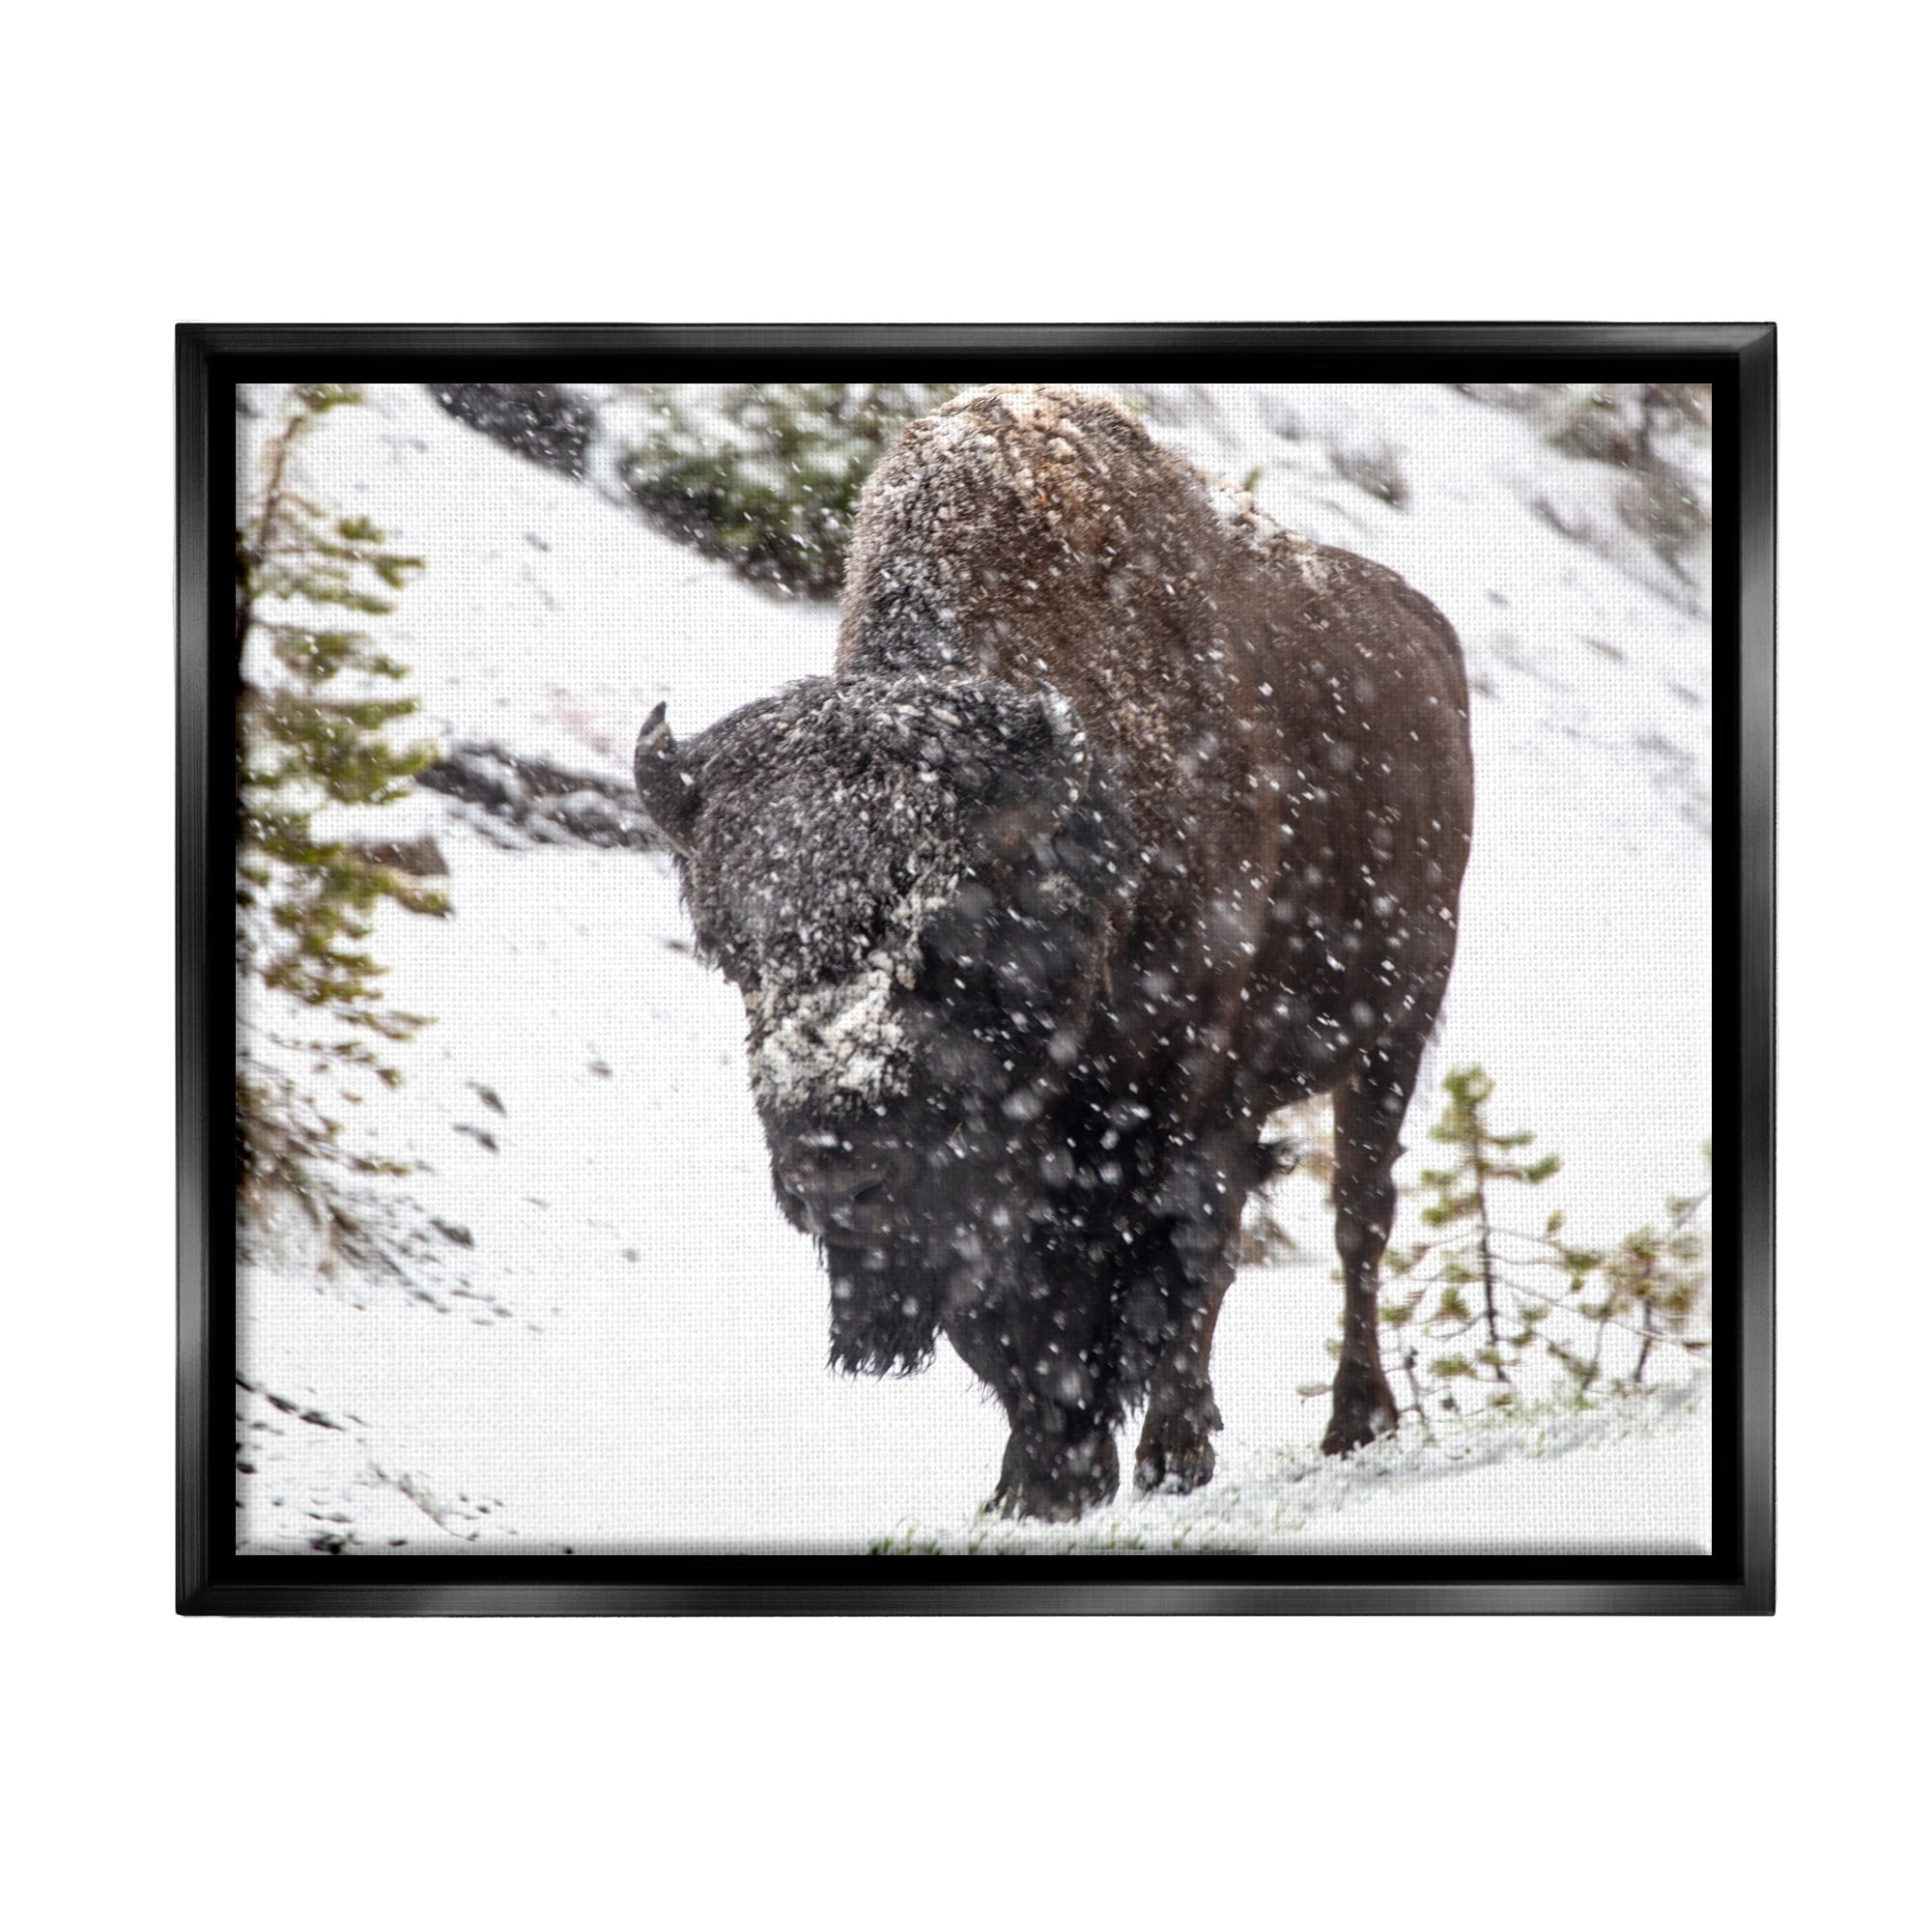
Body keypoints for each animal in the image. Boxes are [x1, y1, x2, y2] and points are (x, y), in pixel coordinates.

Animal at [635, 386, 1474, 1521]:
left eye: (941, 943)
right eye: (733, 954)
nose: (829, 1172)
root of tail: (1426, 638)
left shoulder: (1182, 1110)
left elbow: (1166, 1268)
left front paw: (1131, 1463)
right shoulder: (995, 1188)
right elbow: (1010, 1323)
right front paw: (1033, 1482)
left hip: (1391, 1035)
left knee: (1354, 1220)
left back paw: (1339, 1425)